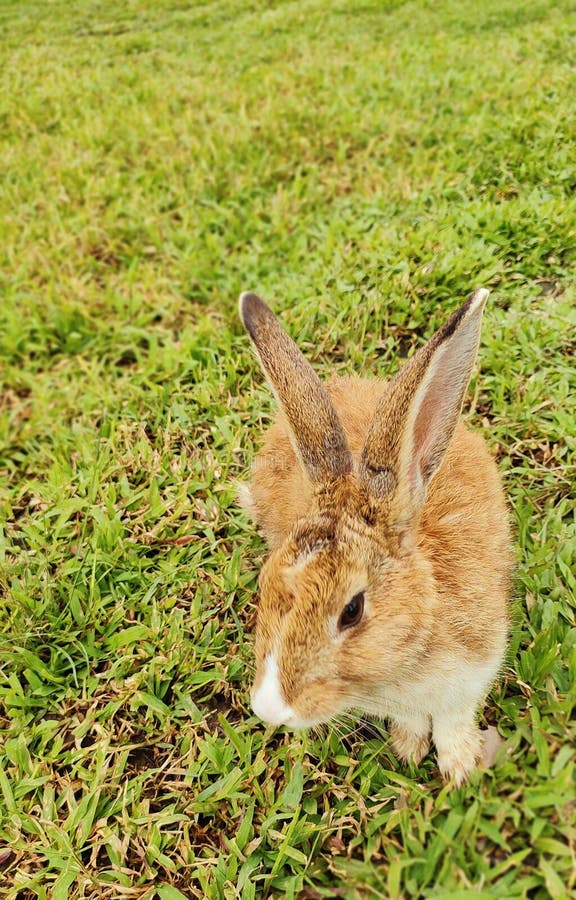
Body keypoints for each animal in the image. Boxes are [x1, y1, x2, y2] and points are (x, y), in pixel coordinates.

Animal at [238, 288, 512, 786]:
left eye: (353, 610)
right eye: (264, 586)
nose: (270, 709)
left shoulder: (474, 672)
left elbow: (453, 718)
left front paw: (460, 766)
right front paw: (410, 748)